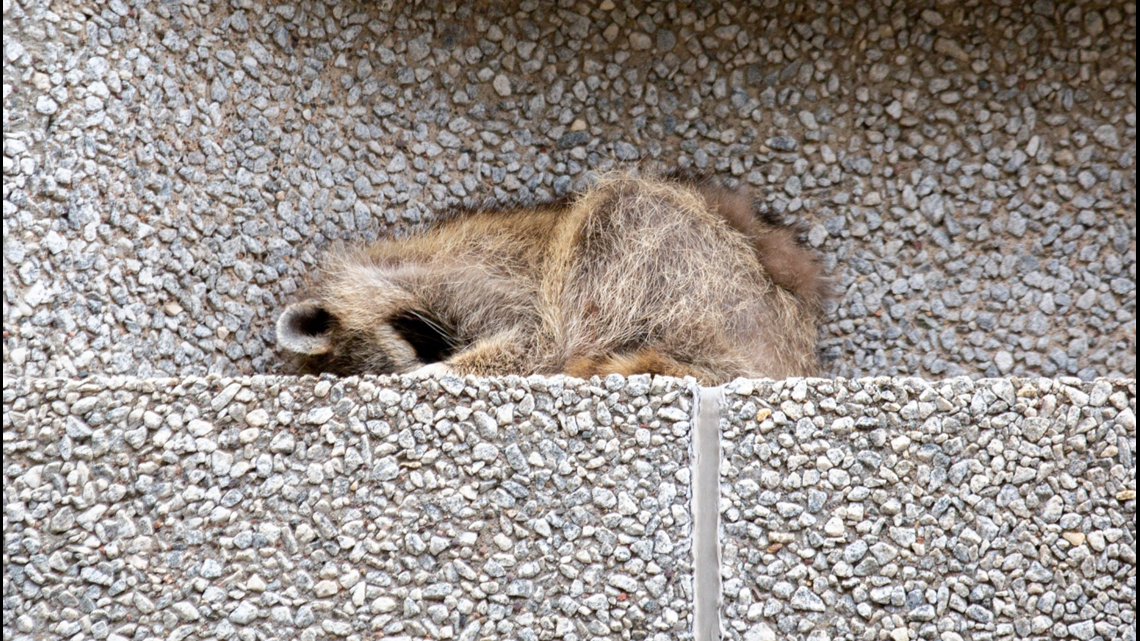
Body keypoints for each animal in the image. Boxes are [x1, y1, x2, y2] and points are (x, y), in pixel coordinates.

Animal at [276, 172, 831, 384]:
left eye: (405, 339)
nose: (438, 357)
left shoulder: (482, 275)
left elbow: (536, 341)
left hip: (703, 273)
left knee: (616, 207)